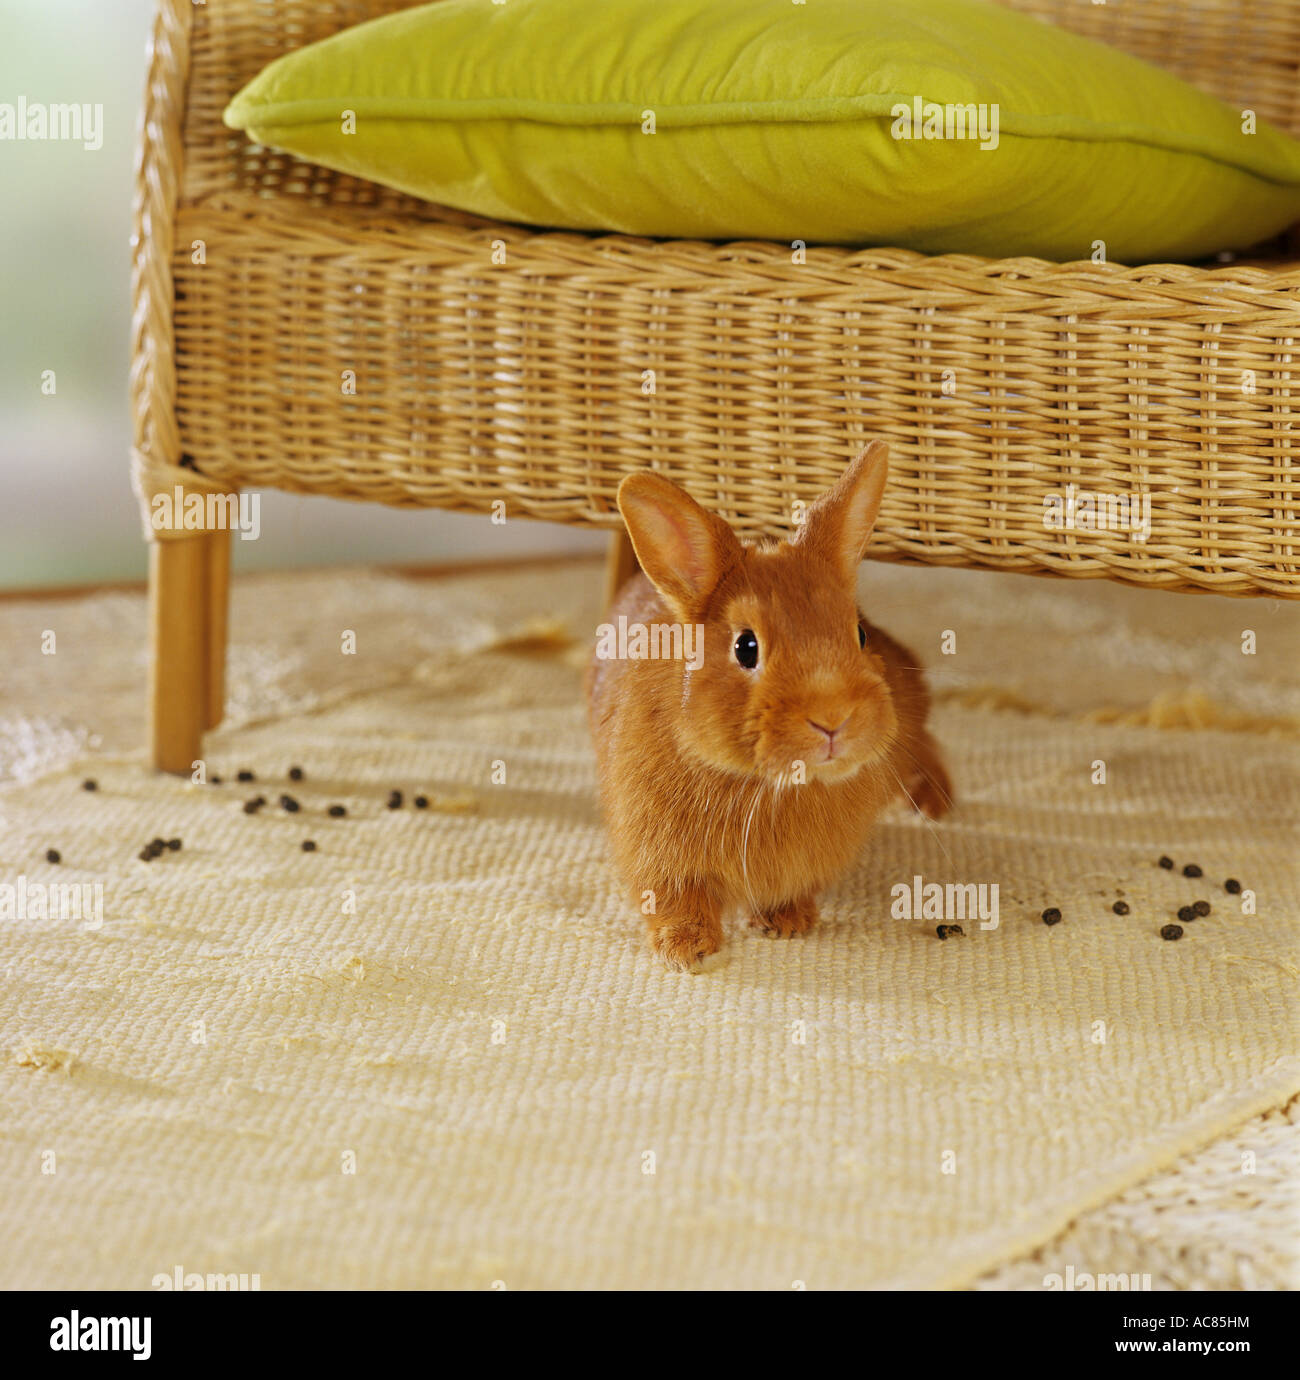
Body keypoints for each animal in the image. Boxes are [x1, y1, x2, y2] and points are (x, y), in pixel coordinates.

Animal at [586, 440, 953, 970]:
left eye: (859, 633)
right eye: (746, 647)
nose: (833, 719)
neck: (771, 787)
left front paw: (787, 921)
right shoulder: (657, 854)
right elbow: (677, 899)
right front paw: (687, 950)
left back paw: (935, 804)